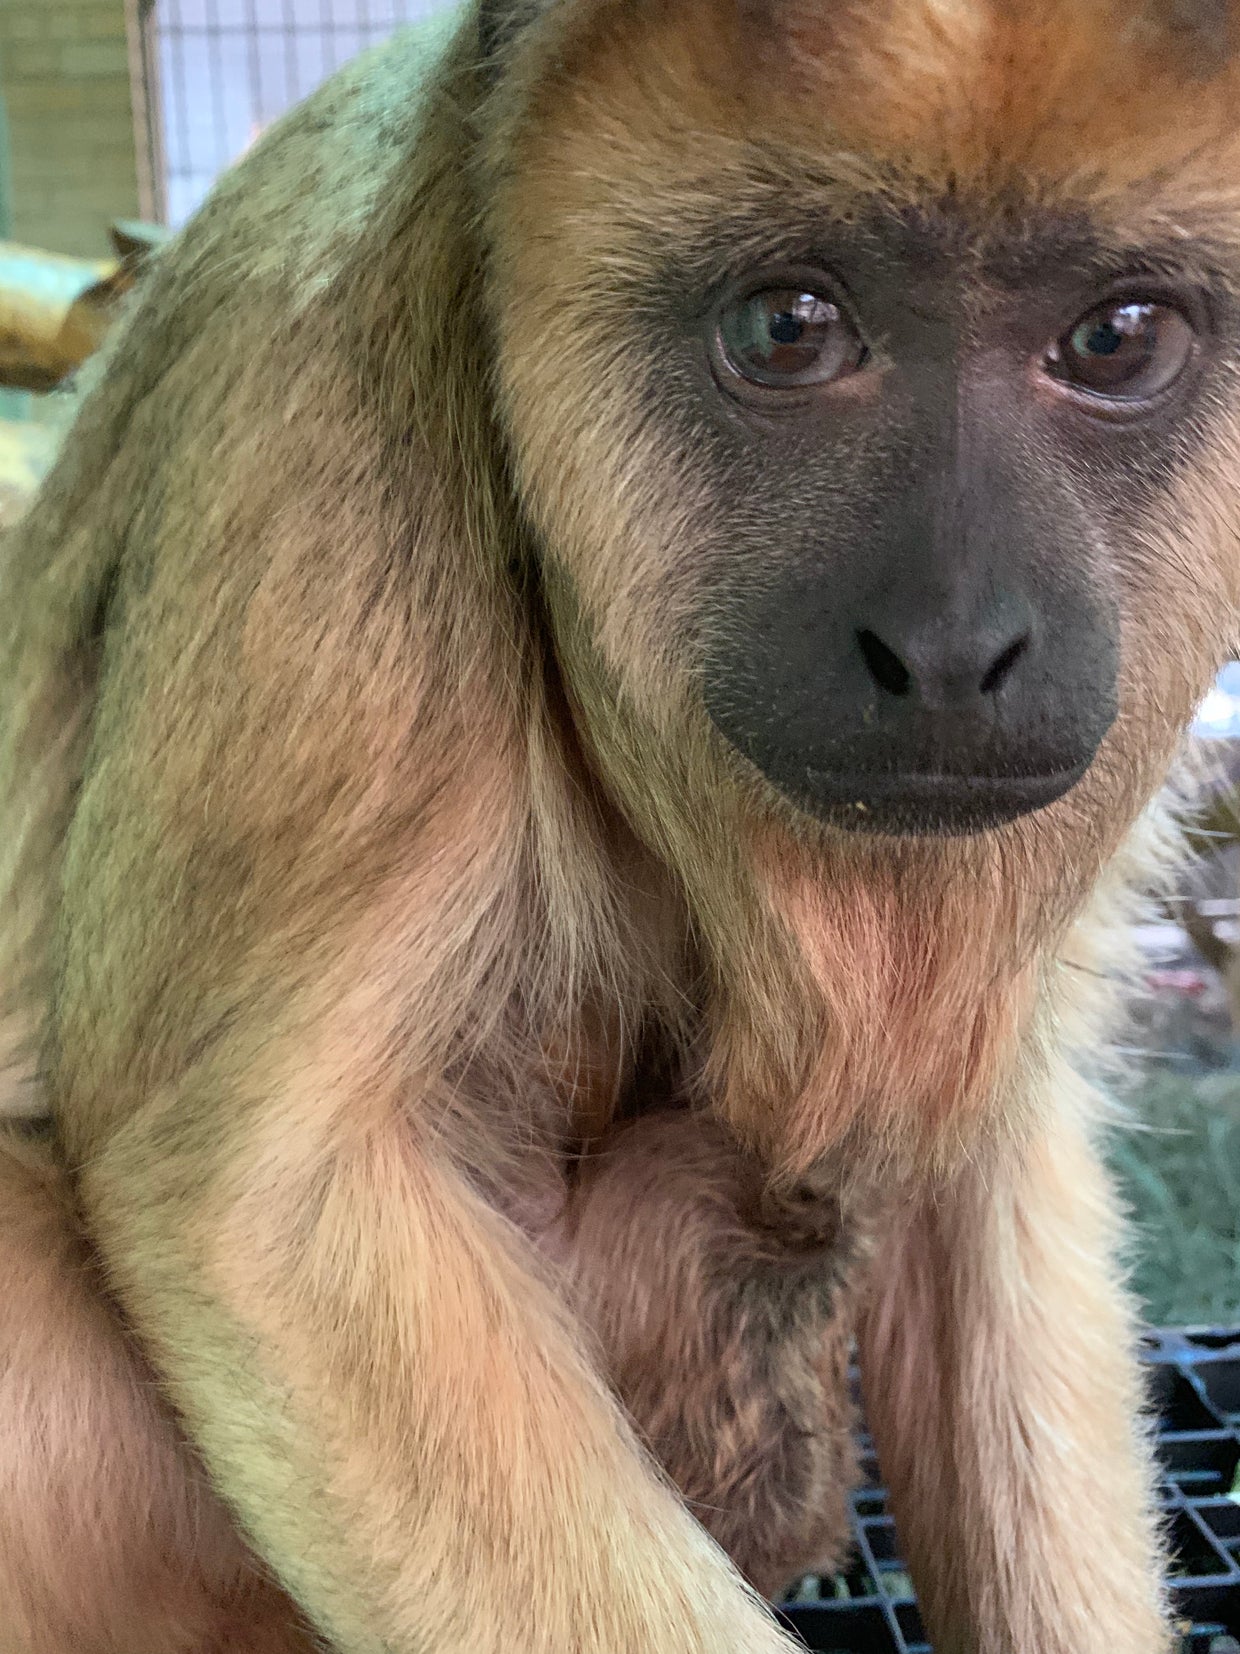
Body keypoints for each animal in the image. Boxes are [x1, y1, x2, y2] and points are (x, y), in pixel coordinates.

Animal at [1, 0, 1238, 1649]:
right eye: (789, 327)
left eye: (1115, 338)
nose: (955, 644)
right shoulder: (330, 395)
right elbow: (262, 1207)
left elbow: (994, 1143)